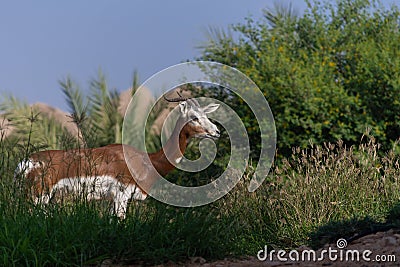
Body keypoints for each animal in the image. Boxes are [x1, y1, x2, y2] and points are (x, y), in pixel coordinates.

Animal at [15, 93, 220, 219]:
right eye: (194, 117)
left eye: (206, 115)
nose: (217, 132)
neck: (147, 161)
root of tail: (26, 162)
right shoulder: (122, 195)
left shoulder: (112, 200)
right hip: (39, 196)